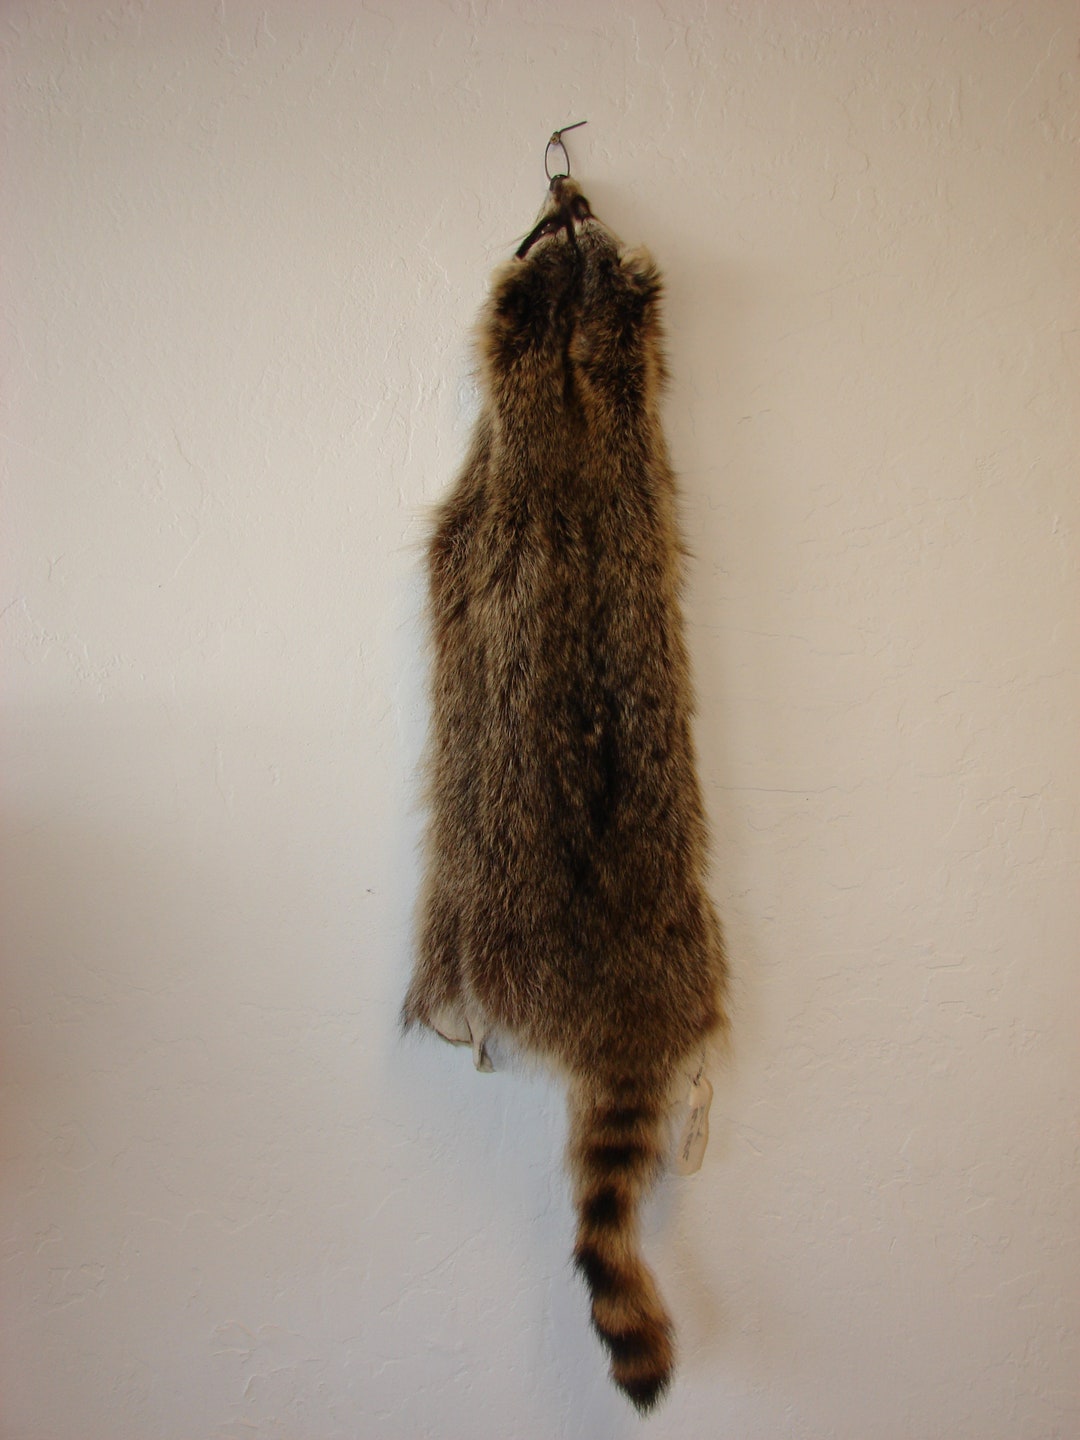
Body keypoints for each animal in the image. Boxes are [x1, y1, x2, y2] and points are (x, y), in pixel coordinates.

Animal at [403, 178, 727, 1412]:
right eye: (556, 236)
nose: (565, 191)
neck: (581, 399)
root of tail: (625, 1003)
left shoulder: (468, 524)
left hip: (481, 892)